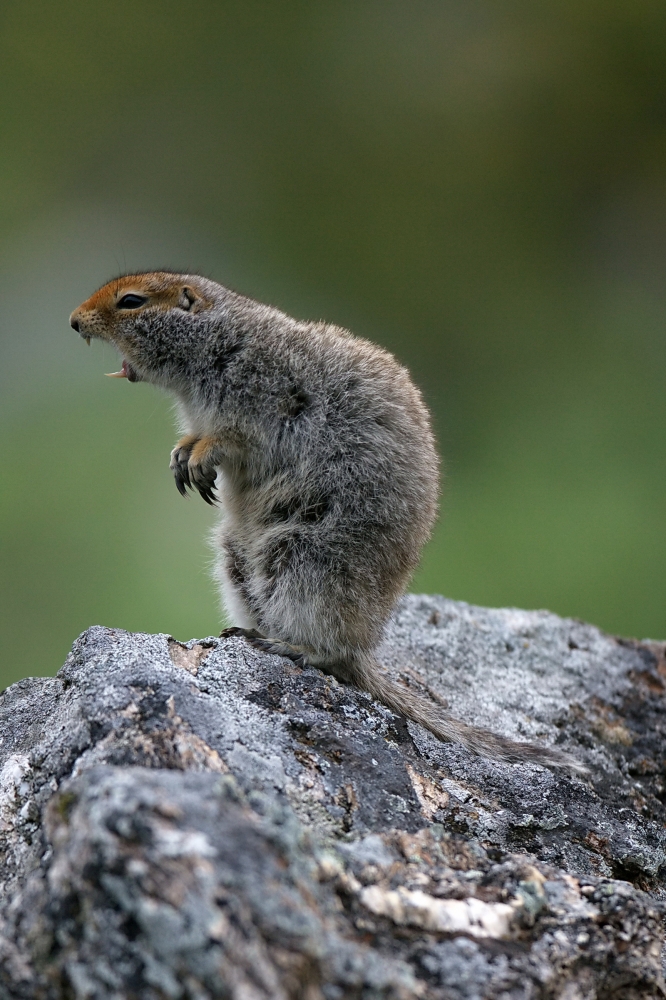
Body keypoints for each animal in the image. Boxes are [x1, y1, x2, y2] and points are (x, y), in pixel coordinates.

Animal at [70, 272, 587, 777]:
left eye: (131, 301)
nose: (74, 321)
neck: (221, 344)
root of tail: (365, 646)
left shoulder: (258, 402)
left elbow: (231, 438)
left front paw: (199, 457)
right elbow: (195, 438)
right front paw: (181, 456)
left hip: (302, 559)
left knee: (330, 650)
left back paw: (290, 647)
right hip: (235, 558)